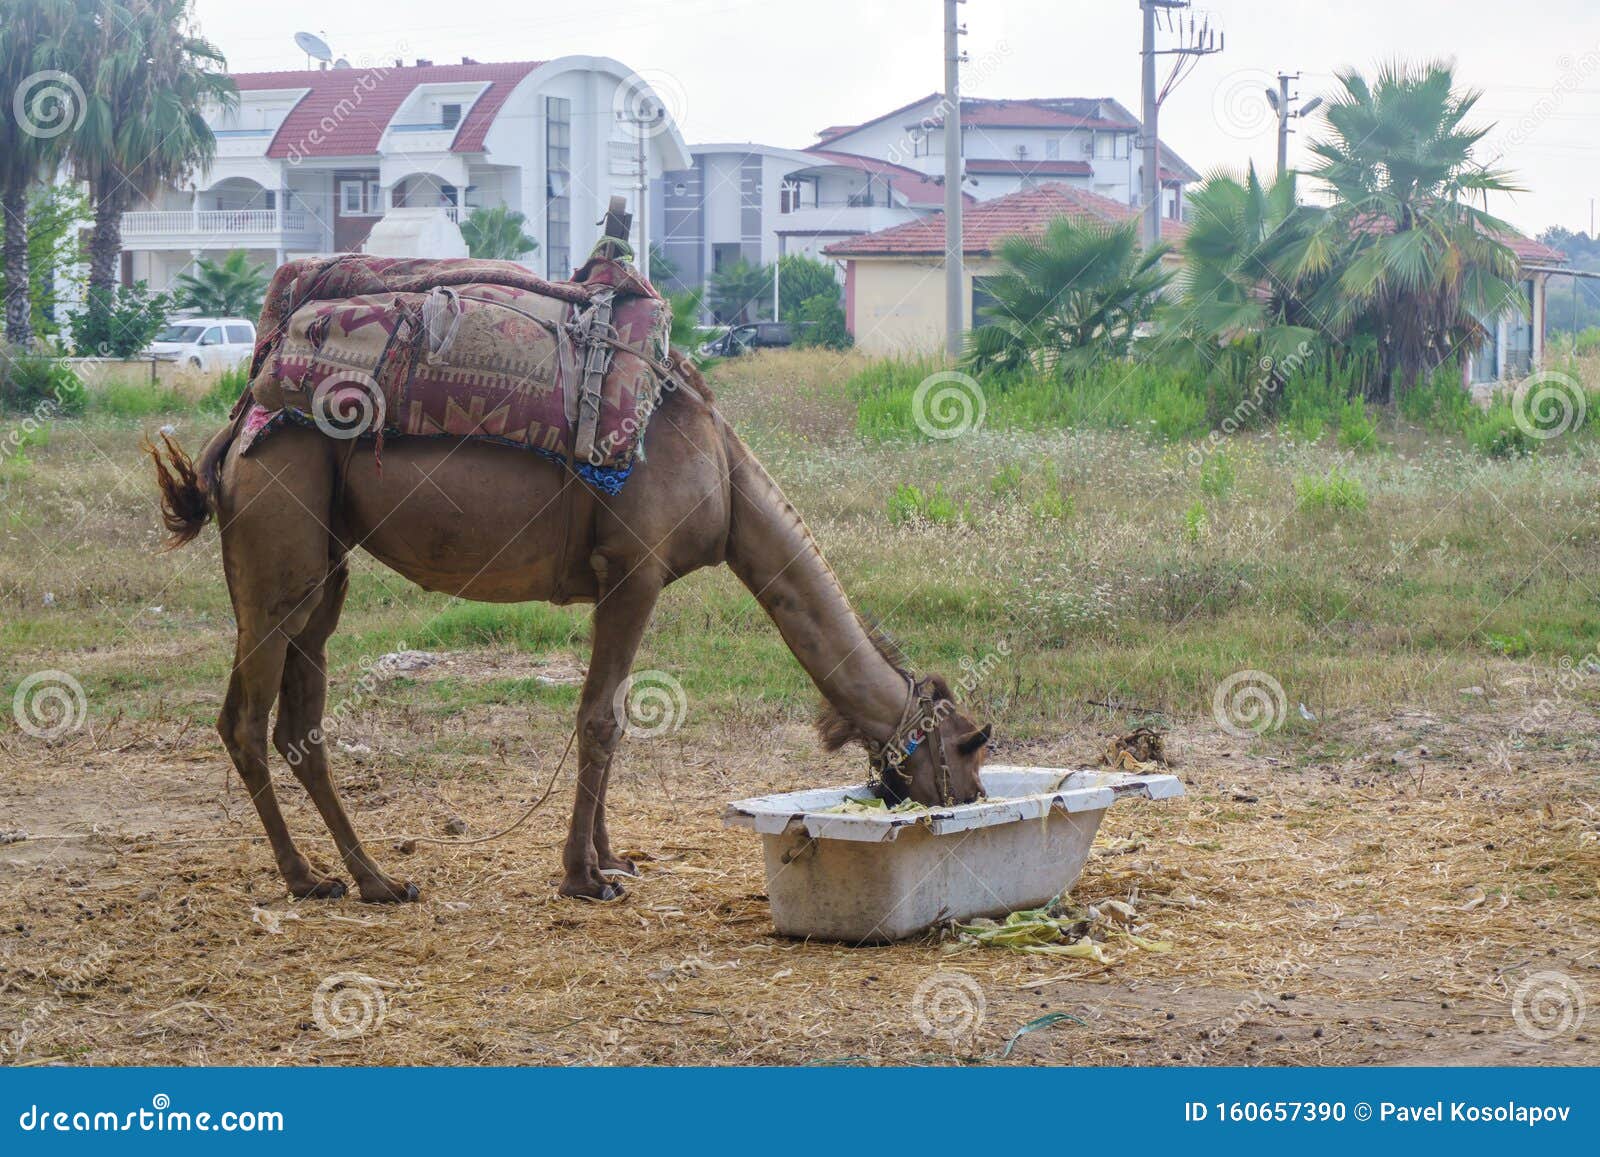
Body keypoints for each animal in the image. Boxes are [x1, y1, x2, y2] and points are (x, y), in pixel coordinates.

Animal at [149, 354, 991, 903]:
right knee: (244, 718)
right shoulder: (635, 568)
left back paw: (377, 878)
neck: (726, 481)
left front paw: (612, 860)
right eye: (967, 746)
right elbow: (601, 718)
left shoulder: (619, 578)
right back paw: (307, 877)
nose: (974, 798)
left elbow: (609, 715)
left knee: (301, 722)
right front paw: (584, 878)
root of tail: (230, 438)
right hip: (278, 549)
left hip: (325, 566)